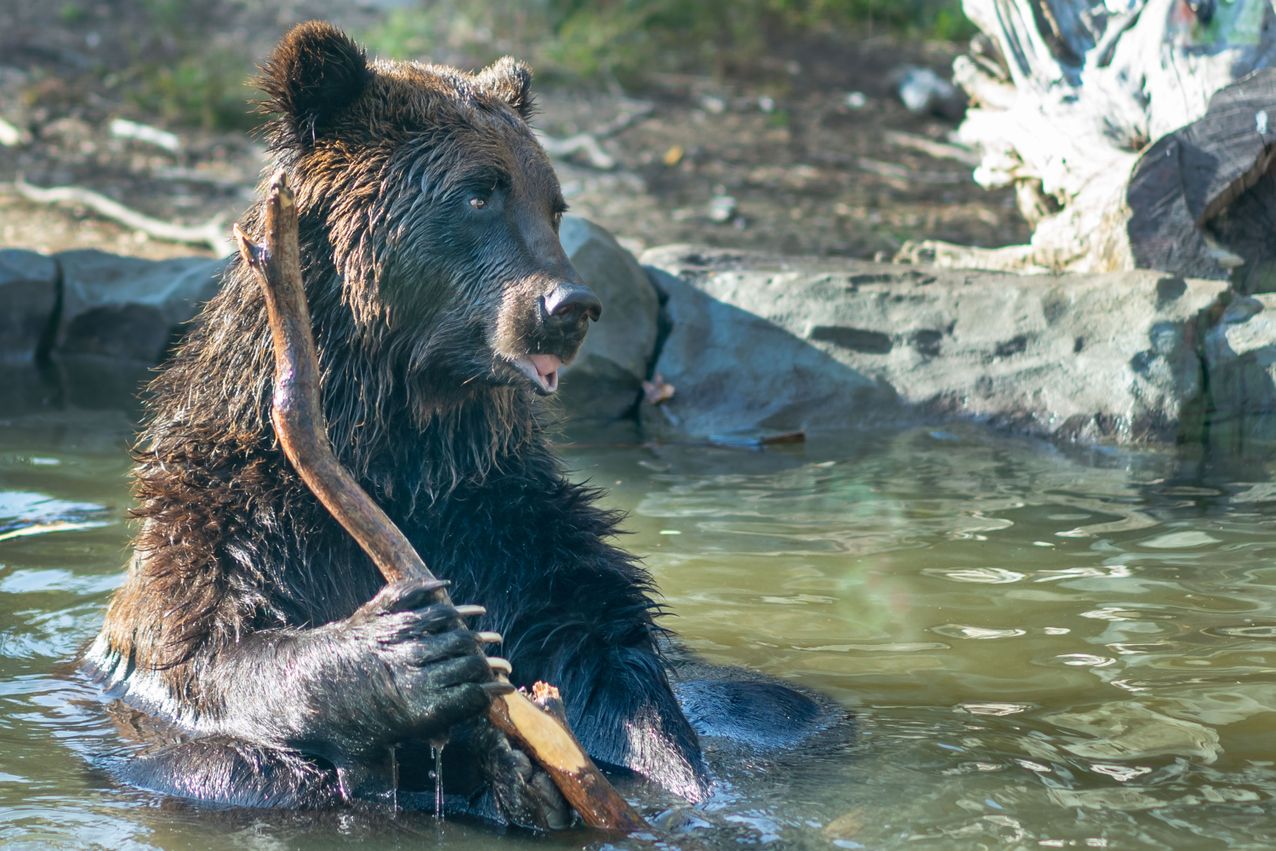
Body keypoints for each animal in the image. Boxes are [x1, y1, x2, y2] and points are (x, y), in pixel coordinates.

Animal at [82, 21, 826, 829]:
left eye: (553, 204)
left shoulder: (501, 518)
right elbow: (207, 648)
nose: (569, 306)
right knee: (228, 768)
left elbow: (606, 653)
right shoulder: (229, 514)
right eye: (478, 194)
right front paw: (416, 649)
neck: (391, 451)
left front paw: (642, 770)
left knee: (776, 704)